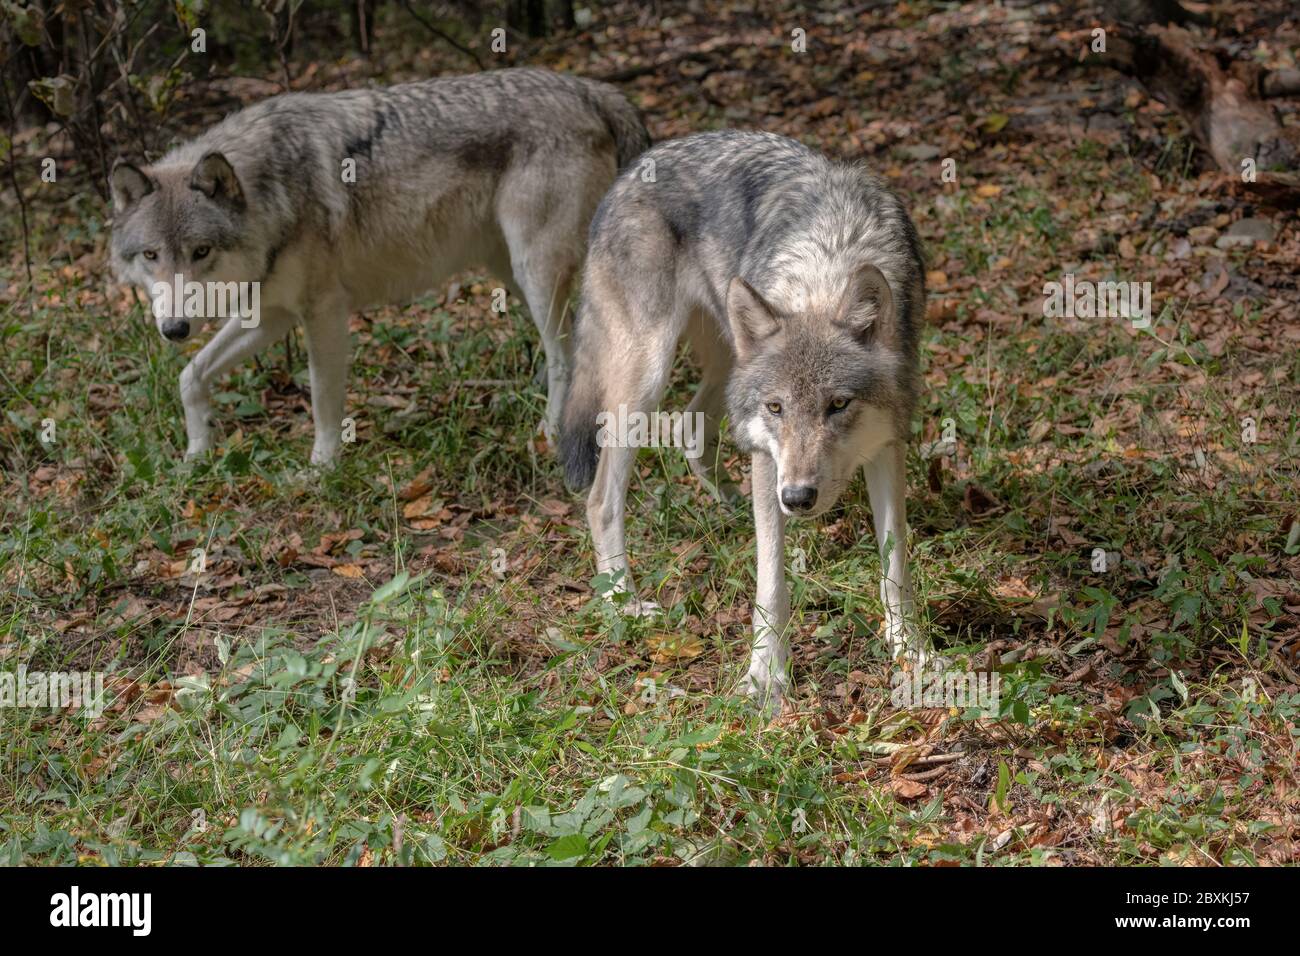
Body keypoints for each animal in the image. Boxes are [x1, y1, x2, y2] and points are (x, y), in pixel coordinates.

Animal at [109, 68, 649, 463]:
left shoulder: (323, 314)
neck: (271, 193)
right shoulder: (270, 316)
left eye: (201, 252)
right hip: (512, 275)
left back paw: (549, 430)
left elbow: (323, 401)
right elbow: (190, 377)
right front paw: (197, 453)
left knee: (565, 355)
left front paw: (322, 470)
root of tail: (590, 87)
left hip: (533, 271)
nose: (174, 329)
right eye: (152, 255)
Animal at [559, 130, 927, 710]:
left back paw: (728, 506)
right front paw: (766, 675)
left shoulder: (886, 444)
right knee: (600, 499)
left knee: (690, 428)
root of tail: (634, 167)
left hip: (721, 362)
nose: (796, 498)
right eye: (777, 408)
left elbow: (895, 566)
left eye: (837, 405)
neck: (827, 260)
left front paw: (910, 651)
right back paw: (622, 599)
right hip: (644, 378)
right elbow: (770, 582)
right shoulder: (766, 451)